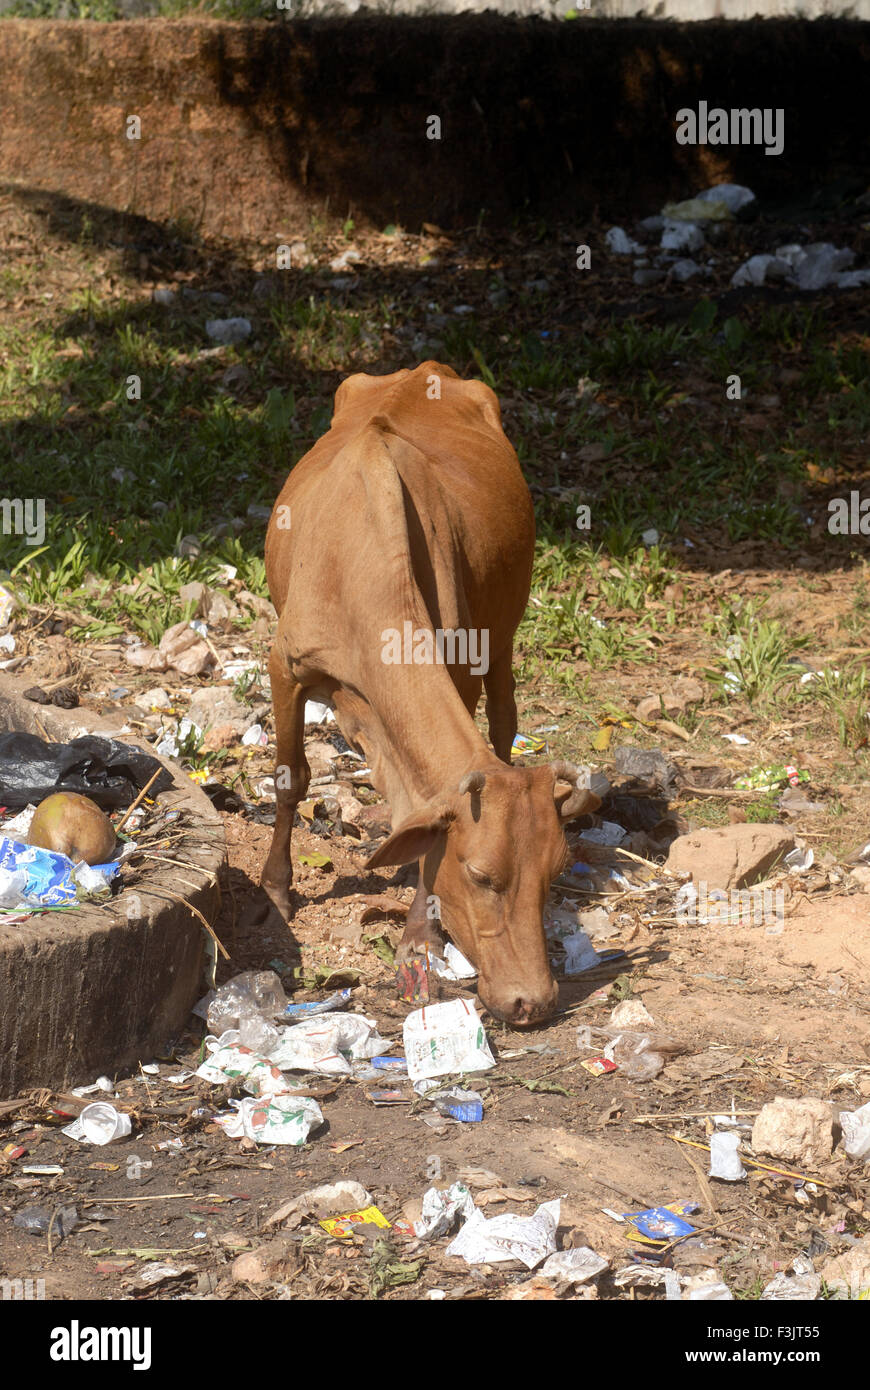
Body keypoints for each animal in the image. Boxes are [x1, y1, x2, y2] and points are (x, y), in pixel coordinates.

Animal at [262, 361, 602, 1026]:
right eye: (481, 876)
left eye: (555, 875)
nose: (534, 1001)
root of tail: (429, 370)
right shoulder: (286, 665)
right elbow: (291, 778)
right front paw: (276, 889)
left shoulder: (460, 666)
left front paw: (420, 934)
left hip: (502, 630)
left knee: (504, 718)